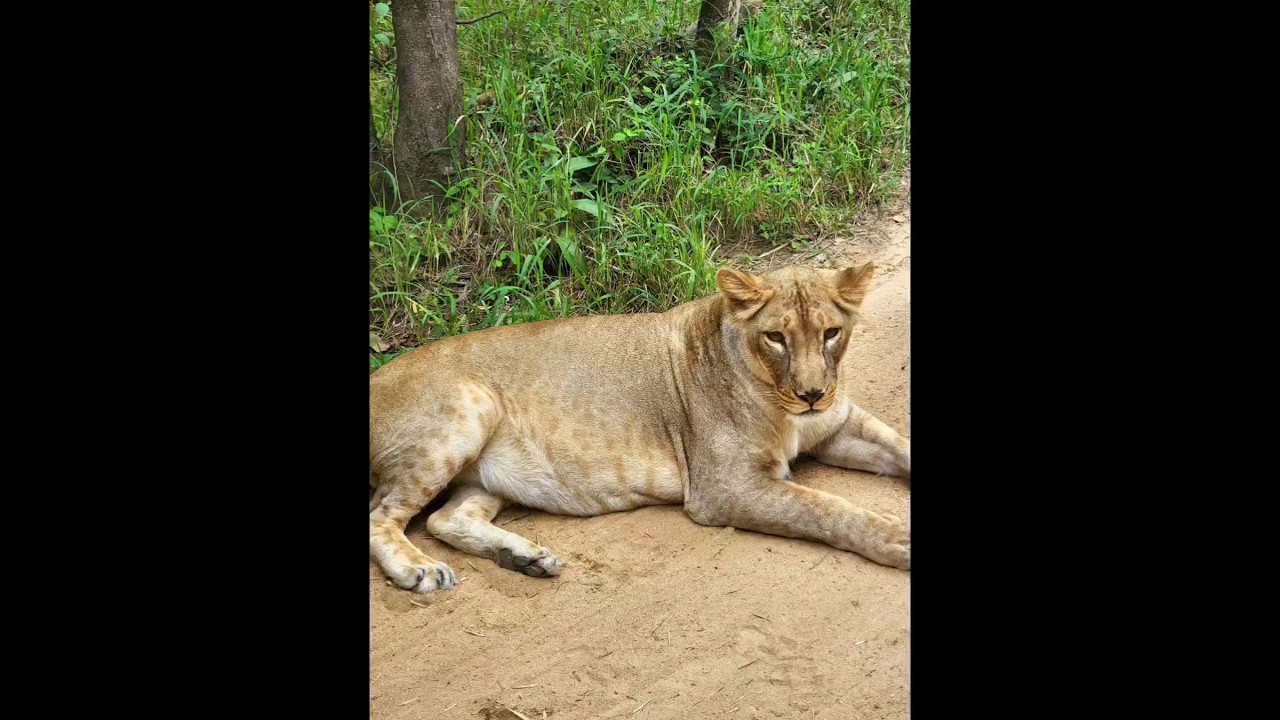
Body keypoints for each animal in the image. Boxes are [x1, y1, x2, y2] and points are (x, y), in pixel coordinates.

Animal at [369, 263, 910, 593]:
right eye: (775, 337)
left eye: (832, 333)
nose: (813, 394)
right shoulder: (725, 488)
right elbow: (824, 509)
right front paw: (899, 538)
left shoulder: (840, 424)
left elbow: (900, 446)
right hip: (463, 416)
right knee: (383, 515)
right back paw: (421, 570)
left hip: (487, 475)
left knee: (444, 519)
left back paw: (527, 558)